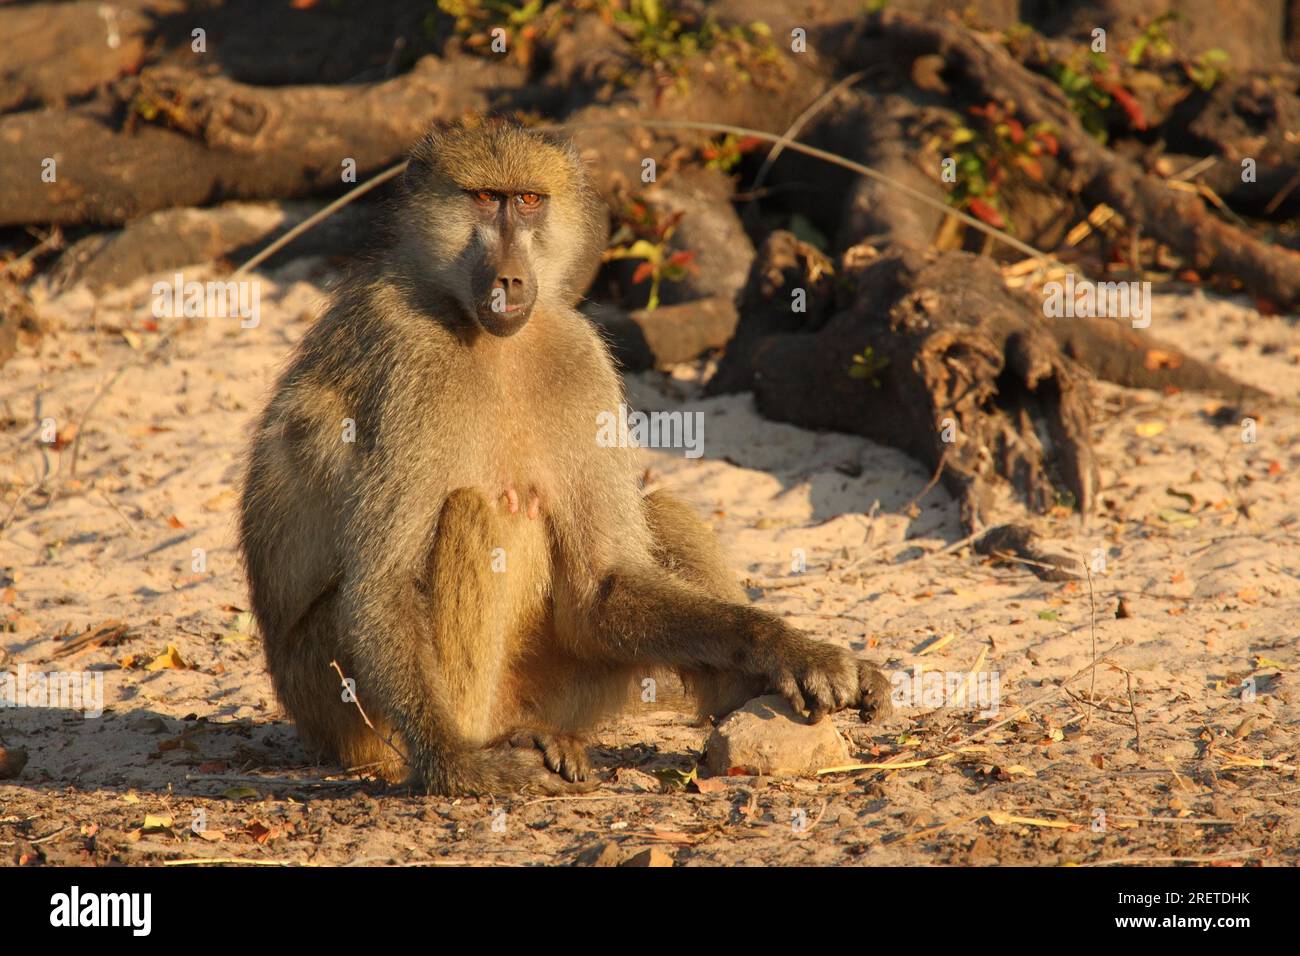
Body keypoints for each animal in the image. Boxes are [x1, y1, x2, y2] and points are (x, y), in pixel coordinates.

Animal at [238, 120, 891, 796]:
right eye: (485, 199)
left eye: (528, 201)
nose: (508, 280)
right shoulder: (408, 360)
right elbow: (382, 584)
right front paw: (456, 762)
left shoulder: (578, 353)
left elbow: (603, 585)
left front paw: (789, 649)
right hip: (344, 704)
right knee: (471, 513)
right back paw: (488, 742)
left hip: (557, 688)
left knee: (653, 519)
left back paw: (735, 703)